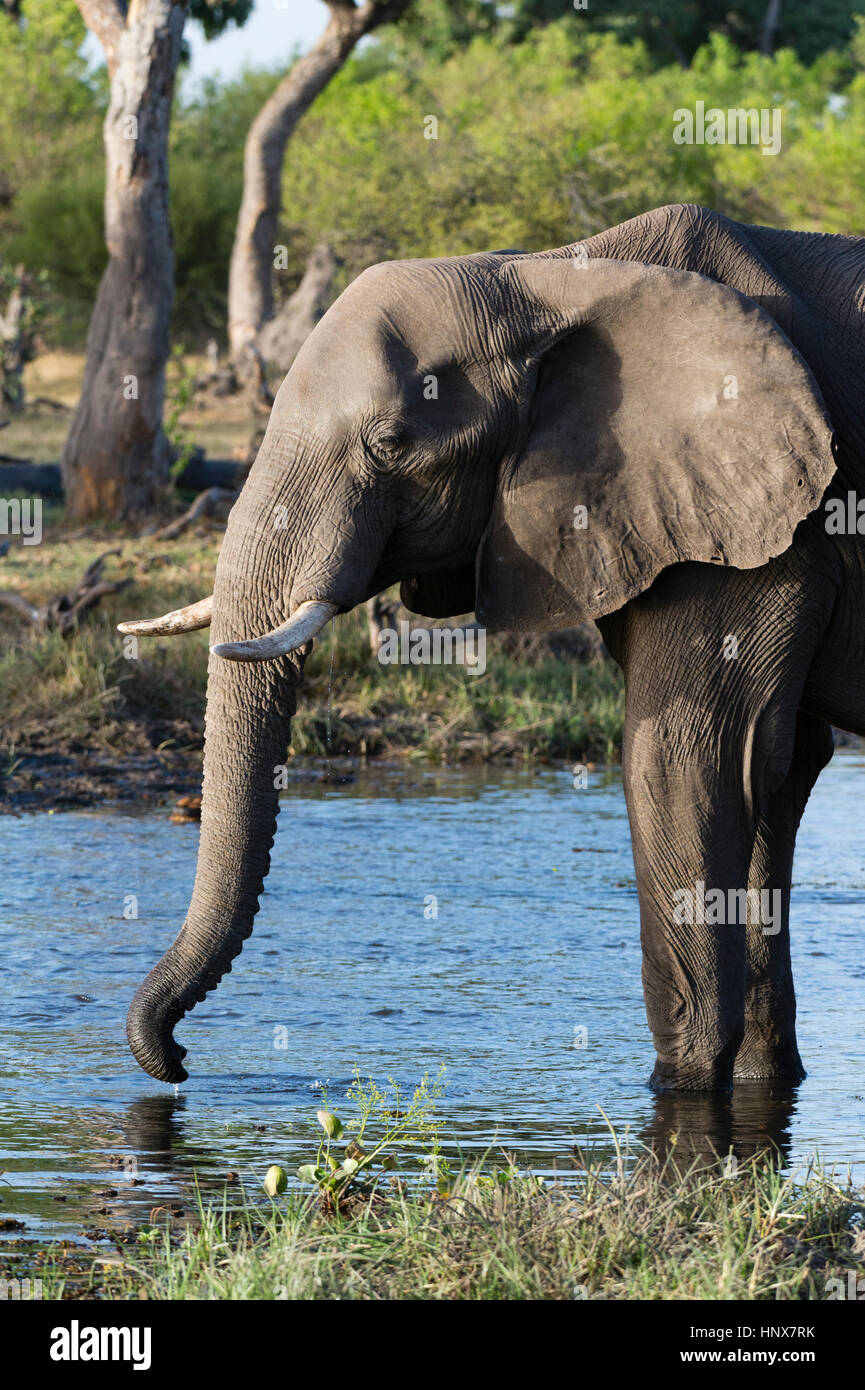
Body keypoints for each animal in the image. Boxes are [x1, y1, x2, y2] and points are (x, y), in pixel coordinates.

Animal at [119, 201, 865, 1093]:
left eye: (391, 443)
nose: (178, 1062)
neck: (549, 276)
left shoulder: (773, 519)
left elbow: (691, 759)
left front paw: (682, 1091)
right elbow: (777, 768)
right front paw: (756, 1080)